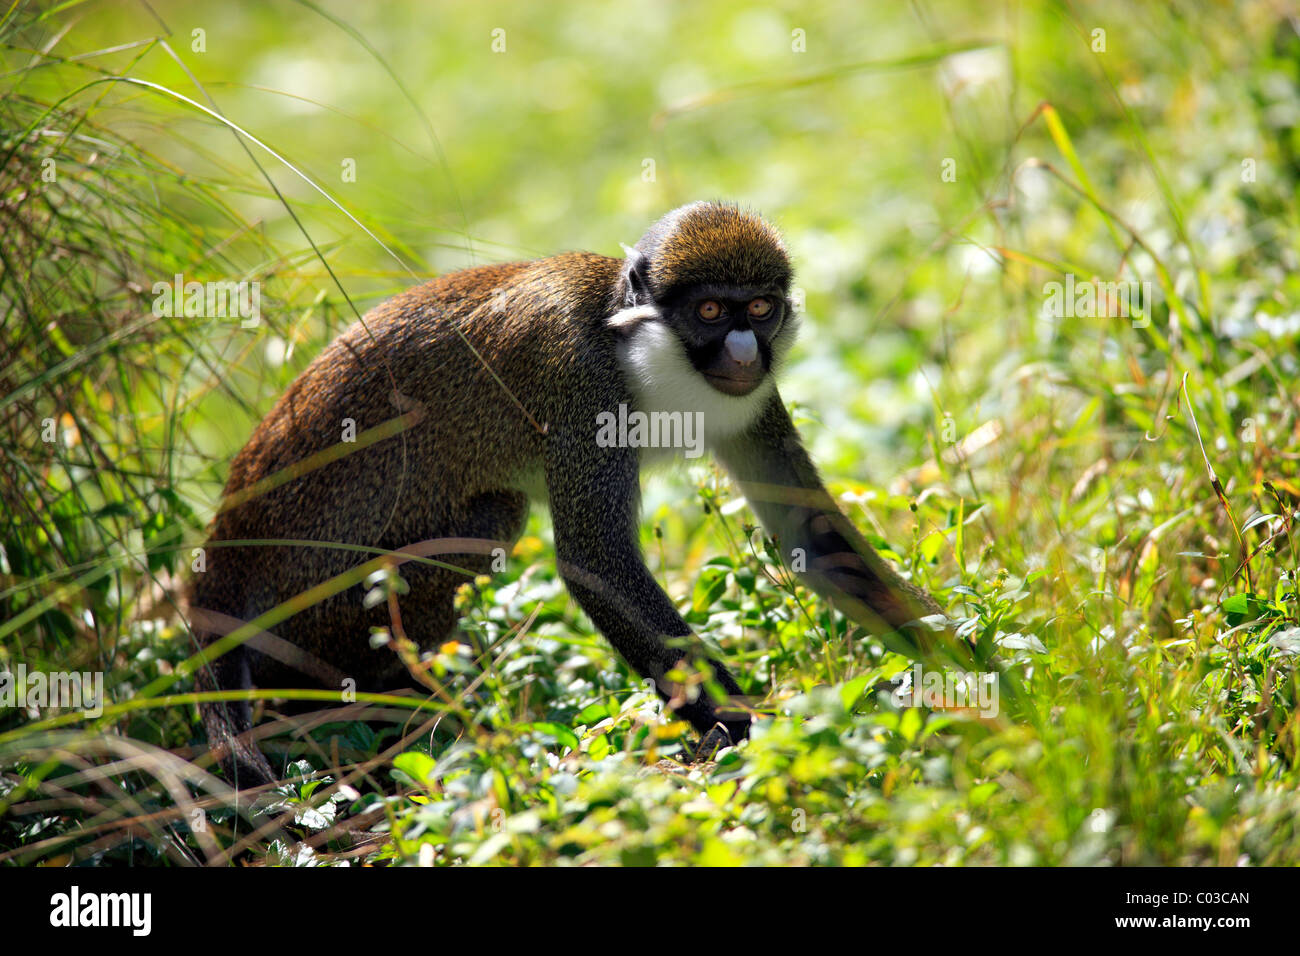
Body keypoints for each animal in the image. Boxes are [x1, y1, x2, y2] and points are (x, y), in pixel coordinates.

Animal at [188, 201, 956, 788]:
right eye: (711, 310)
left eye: (760, 309)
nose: (744, 352)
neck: (630, 344)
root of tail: (219, 572)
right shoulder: (581, 380)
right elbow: (595, 559)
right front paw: (745, 731)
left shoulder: (751, 397)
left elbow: (809, 538)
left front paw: (969, 664)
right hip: (315, 614)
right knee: (496, 517)